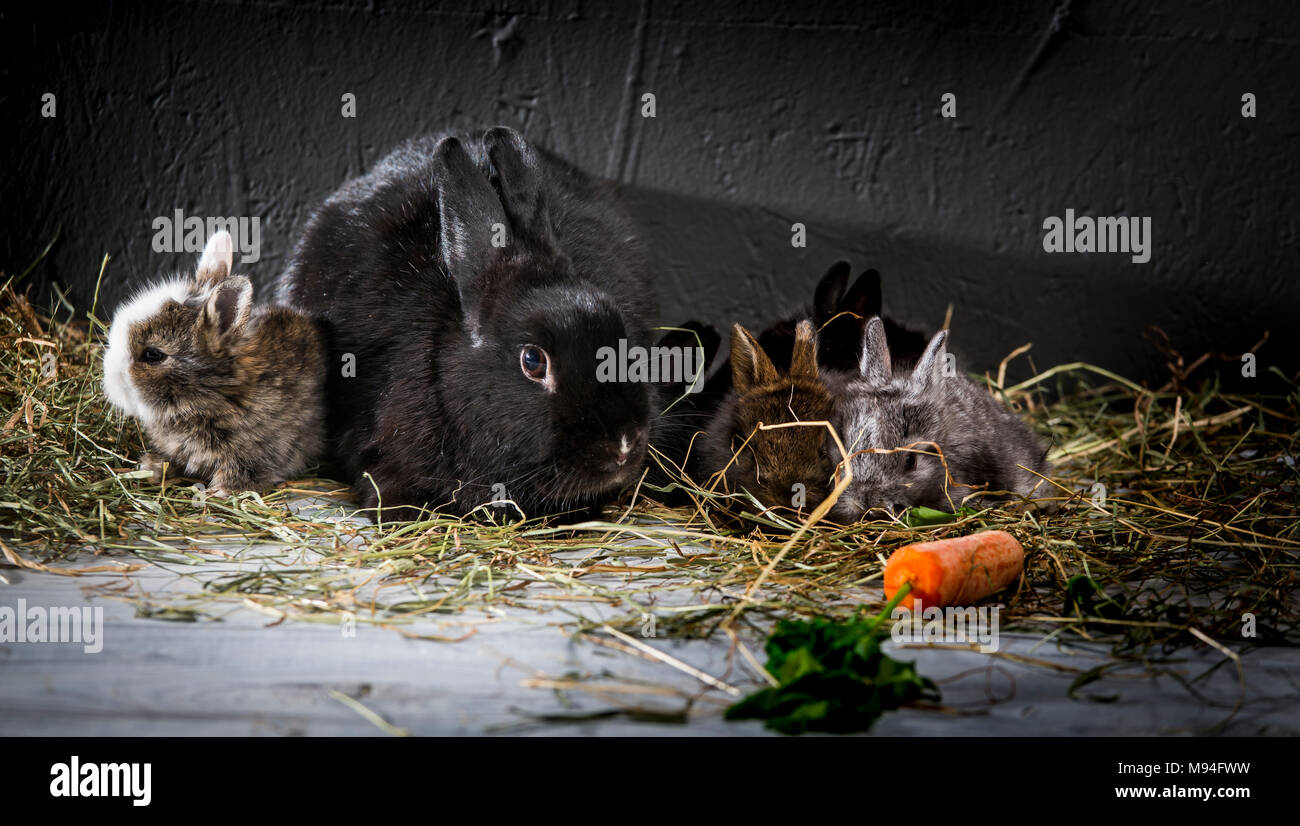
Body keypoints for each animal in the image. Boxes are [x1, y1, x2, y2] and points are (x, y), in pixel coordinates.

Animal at [102, 231, 327, 495]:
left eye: (152, 355)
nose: (108, 382)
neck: (217, 393)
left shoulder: (253, 455)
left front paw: (219, 492)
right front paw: (153, 467)